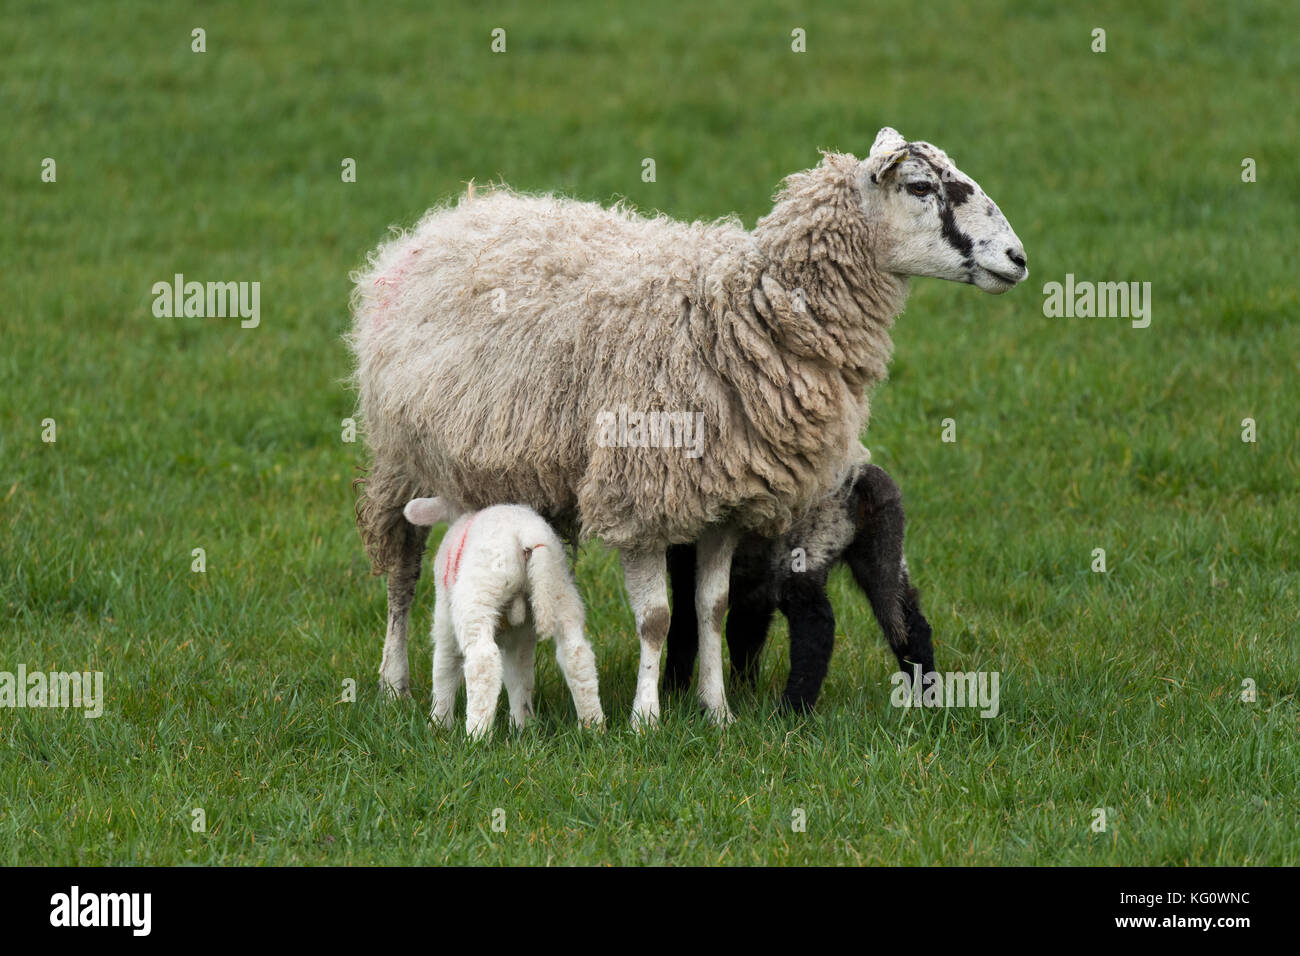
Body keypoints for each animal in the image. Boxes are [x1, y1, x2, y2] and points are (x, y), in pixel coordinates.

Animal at [403, 496, 605, 738]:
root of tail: (527, 535)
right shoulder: (519, 638)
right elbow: (518, 677)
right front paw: (521, 726)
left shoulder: (445, 618)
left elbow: (444, 667)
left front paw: (438, 725)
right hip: (558, 587)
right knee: (576, 654)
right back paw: (591, 727)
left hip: (479, 592)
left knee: (483, 661)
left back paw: (476, 735)